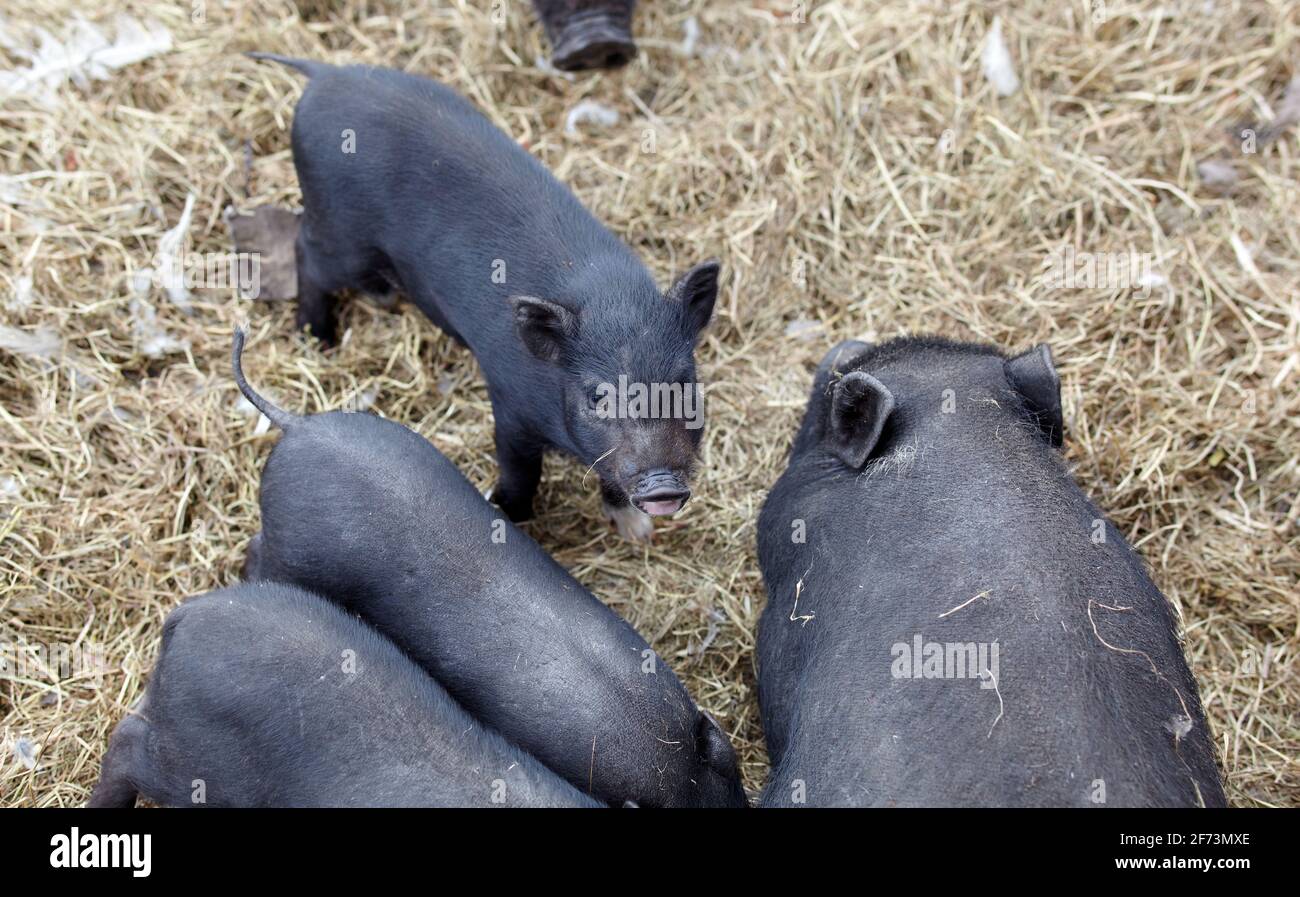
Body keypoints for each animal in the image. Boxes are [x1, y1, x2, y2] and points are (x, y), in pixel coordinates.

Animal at [247, 53, 719, 540]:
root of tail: (325, 73)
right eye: (598, 397)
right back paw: (317, 339)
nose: (663, 487)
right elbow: (521, 468)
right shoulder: (508, 403)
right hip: (339, 234)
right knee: (305, 254)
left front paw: (635, 533)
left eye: (683, 383)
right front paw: (507, 511)